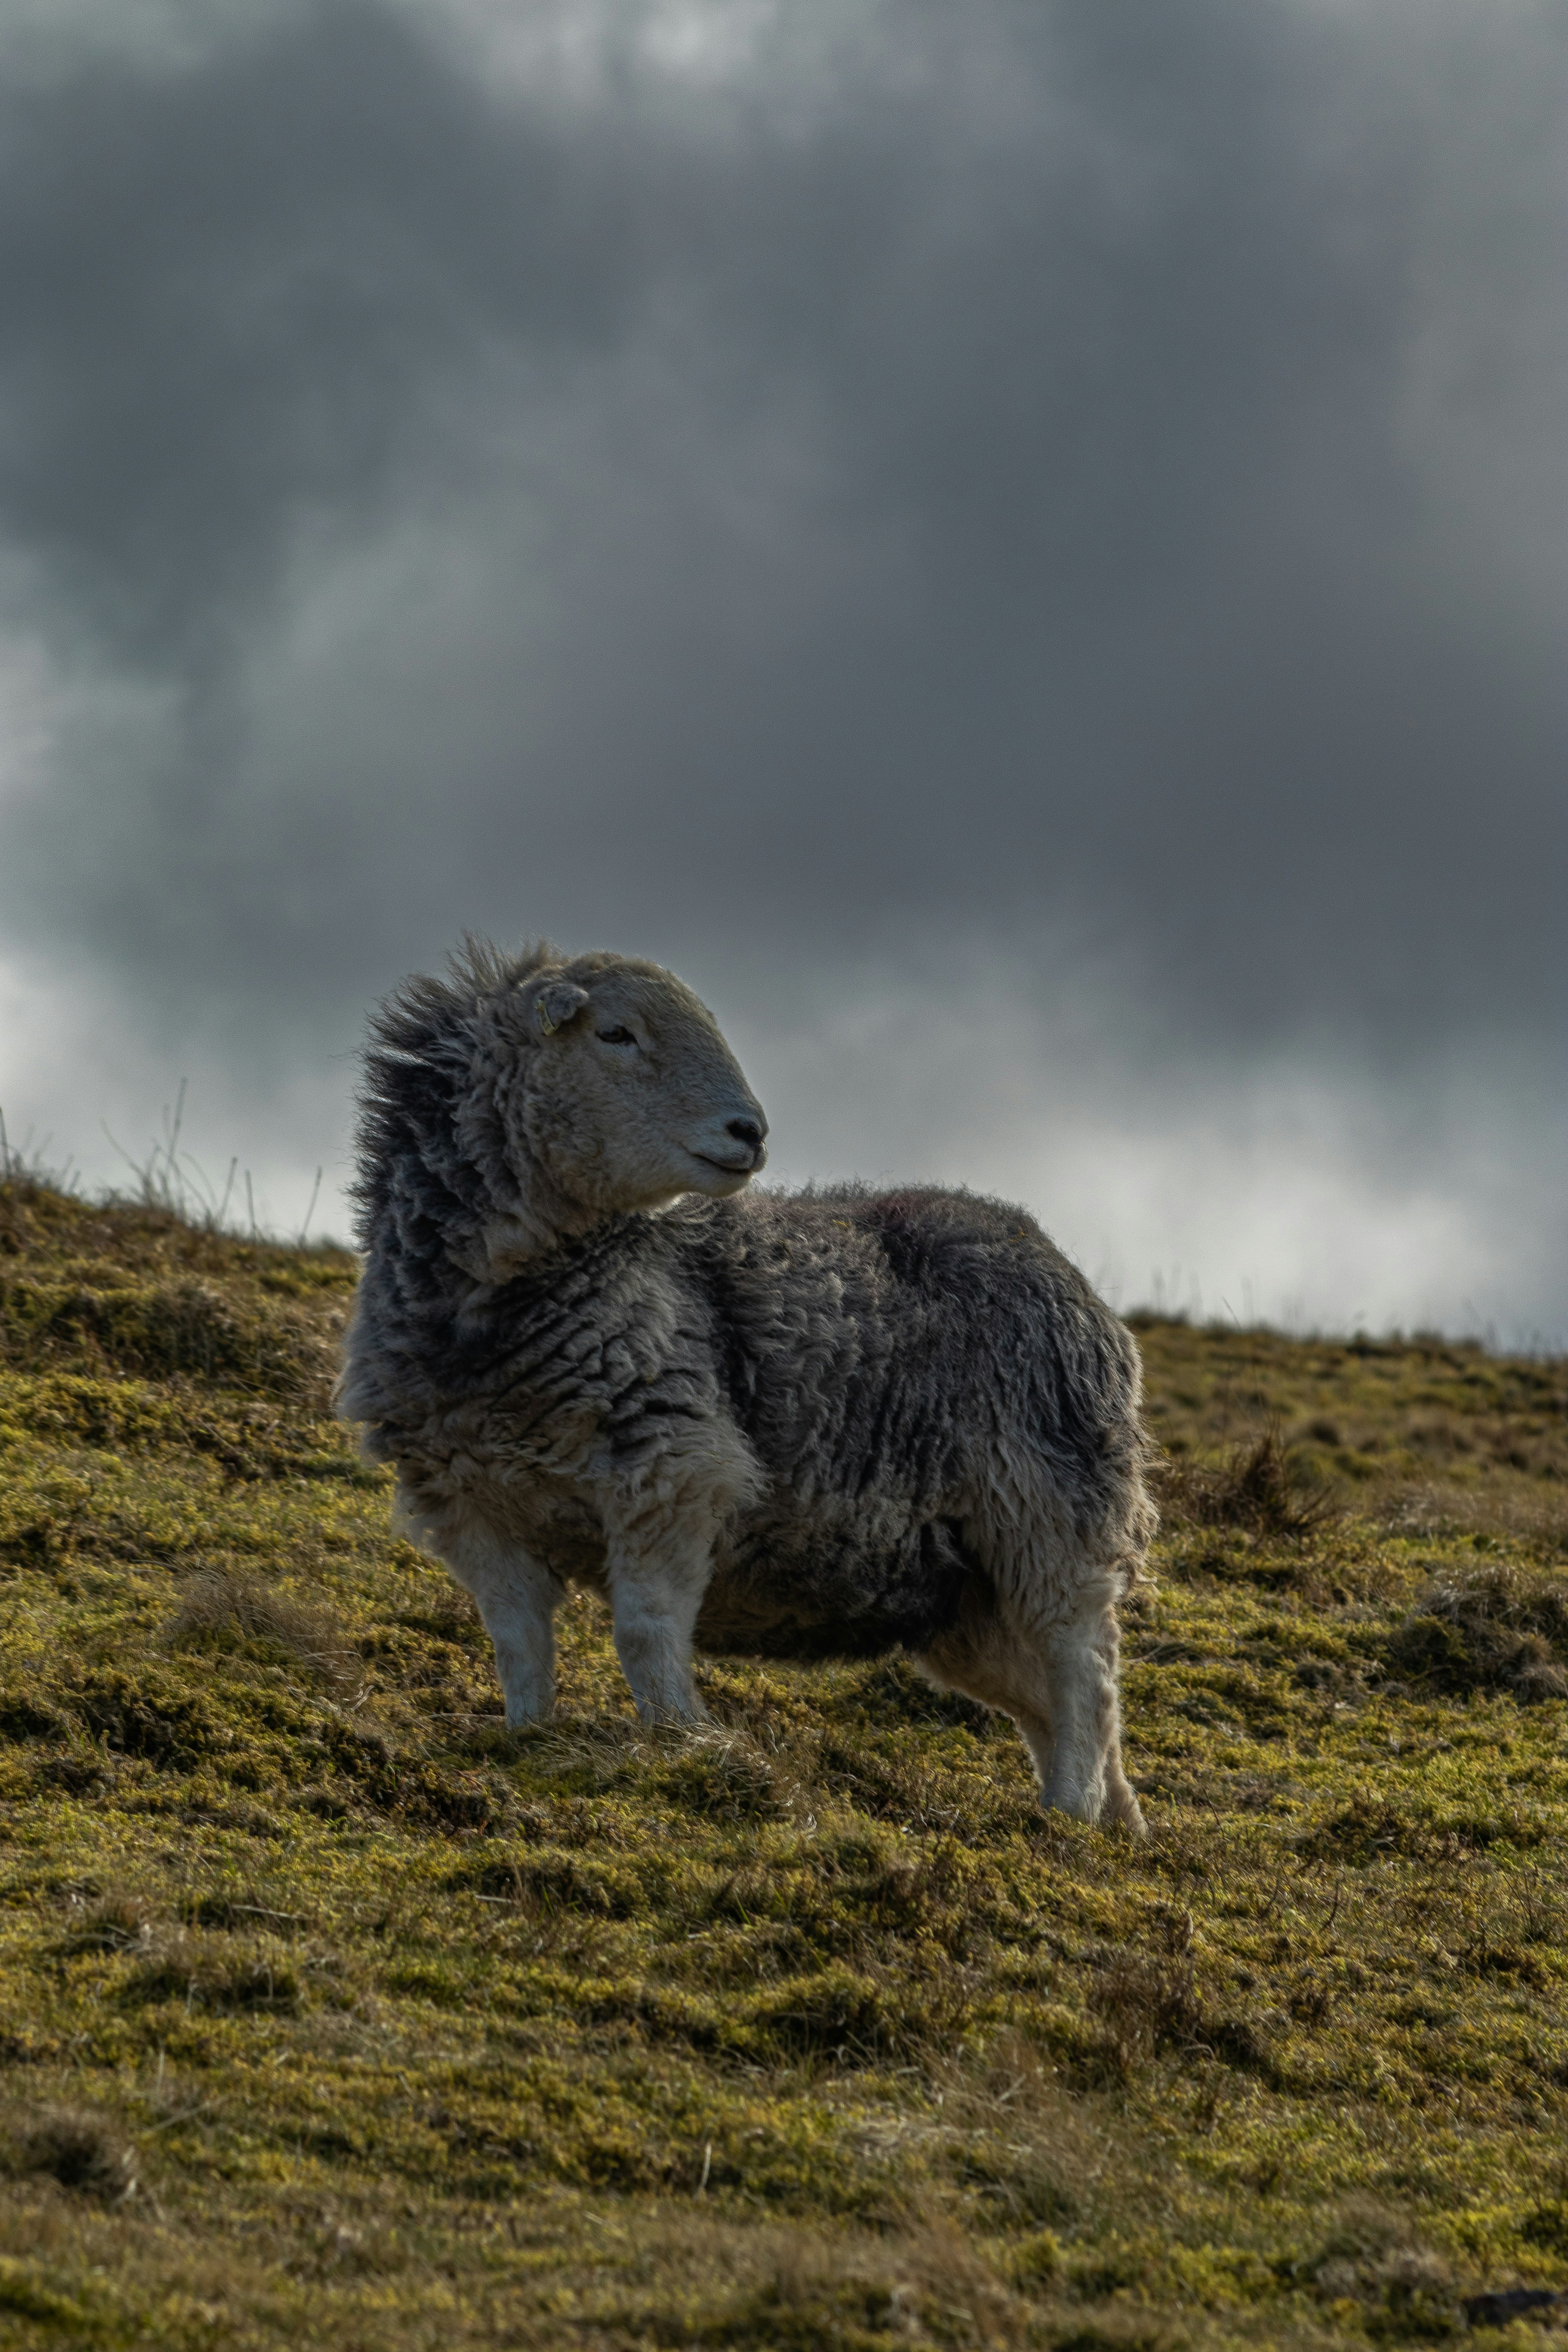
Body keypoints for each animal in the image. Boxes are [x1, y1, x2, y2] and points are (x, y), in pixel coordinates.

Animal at [339, 938, 1155, 1831]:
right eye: (615, 1033)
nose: (750, 1133)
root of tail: (1060, 1264)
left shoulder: (670, 1468)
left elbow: (645, 1631)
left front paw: (682, 1741)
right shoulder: (473, 1505)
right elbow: (519, 1647)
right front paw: (529, 1741)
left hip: (1048, 1511)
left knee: (1083, 1672)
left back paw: (1069, 1814)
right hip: (960, 1594)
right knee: (1058, 1701)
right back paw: (1111, 1824)